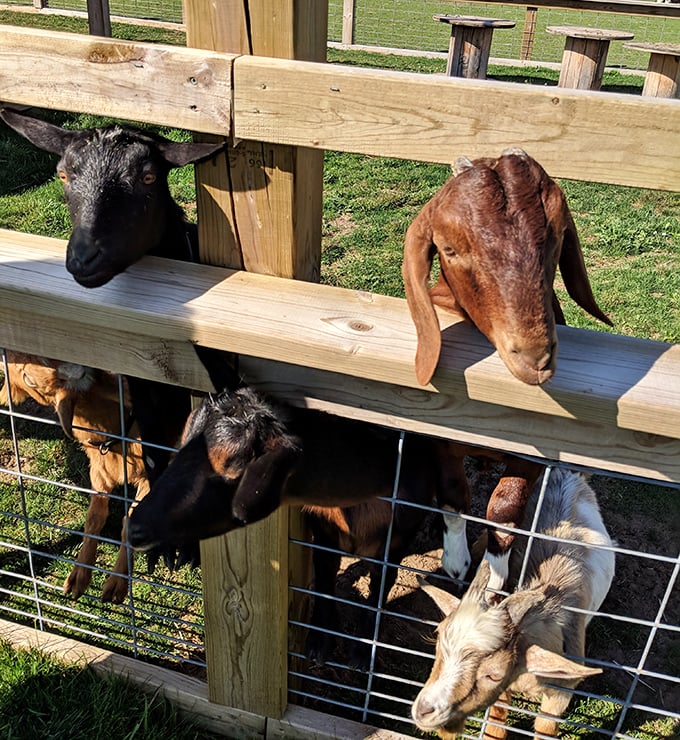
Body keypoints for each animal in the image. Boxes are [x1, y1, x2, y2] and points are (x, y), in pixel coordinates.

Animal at [0, 350, 149, 603]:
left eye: (30, 379)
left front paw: (116, 585)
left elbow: (131, 522)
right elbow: (94, 516)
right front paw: (78, 576)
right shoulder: (99, 470)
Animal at [125, 383, 464, 666]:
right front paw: (318, 642)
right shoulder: (323, 527)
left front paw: (361, 650)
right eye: (183, 445)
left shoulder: (400, 532)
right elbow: (326, 574)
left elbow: (382, 582)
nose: (135, 528)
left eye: (234, 468)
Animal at [411, 468, 615, 739]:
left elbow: (545, 727)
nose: (424, 710)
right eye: (438, 638)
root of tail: (565, 472)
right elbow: (497, 720)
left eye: (493, 674)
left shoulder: (561, 691)